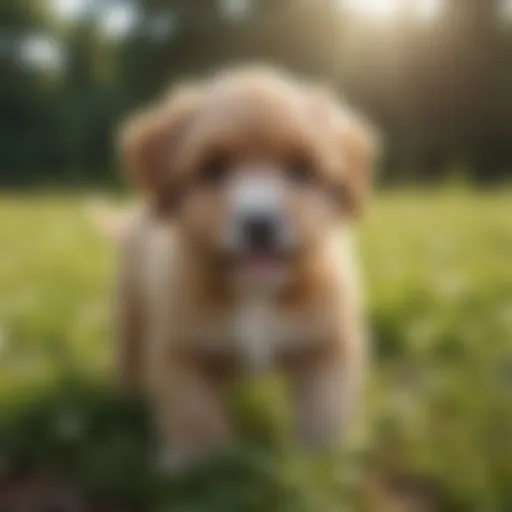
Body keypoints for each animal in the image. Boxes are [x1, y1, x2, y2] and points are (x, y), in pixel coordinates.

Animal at [117, 66, 380, 470]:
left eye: (299, 168)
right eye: (213, 168)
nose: (260, 223)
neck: (256, 294)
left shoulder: (327, 345)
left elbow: (324, 408)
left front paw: (323, 462)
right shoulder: (181, 351)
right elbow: (192, 411)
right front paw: (196, 462)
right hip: (131, 309)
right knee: (129, 352)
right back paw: (127, 393)